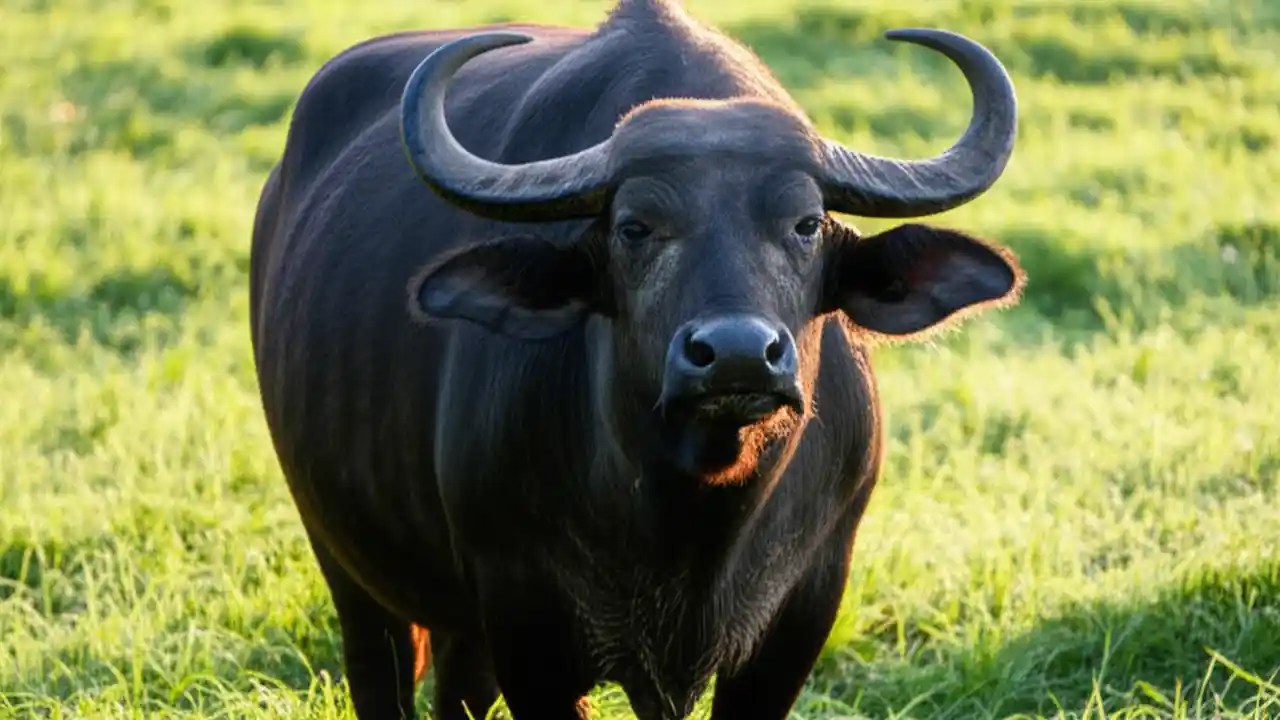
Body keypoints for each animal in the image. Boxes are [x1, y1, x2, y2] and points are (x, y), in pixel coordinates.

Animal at [249, 0, 1024, 718]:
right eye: (634, 227)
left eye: (806, 224)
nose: (737, 355)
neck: (689, 519)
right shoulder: (525, 626)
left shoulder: (798, 618)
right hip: (346, 563)